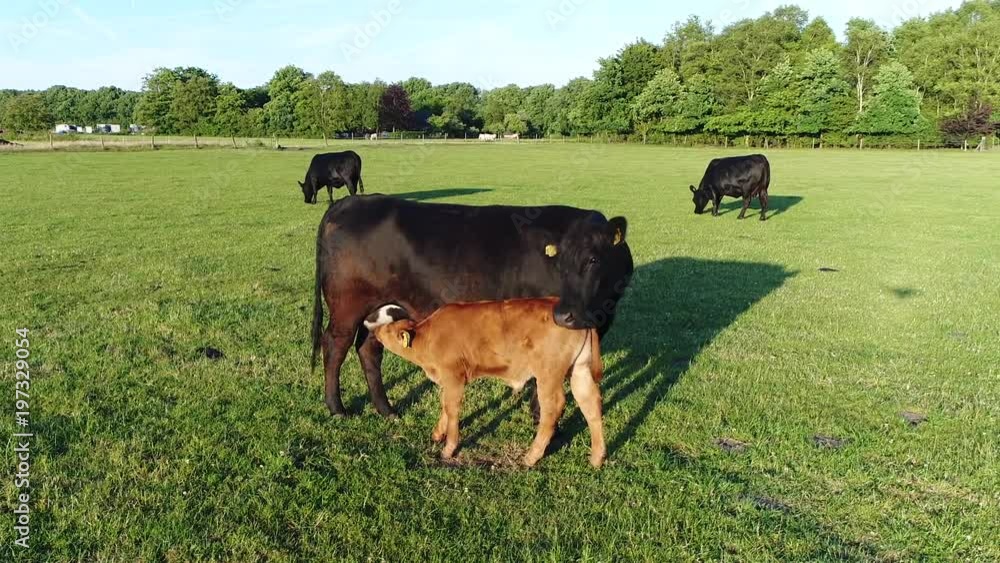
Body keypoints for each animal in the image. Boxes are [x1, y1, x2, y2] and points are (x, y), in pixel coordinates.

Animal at [311, 194, 633, 418]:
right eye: (560, 263)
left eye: (593, 259)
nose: (564, 315)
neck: (602, 310)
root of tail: (350, 202)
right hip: (347, 306)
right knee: (335, 346)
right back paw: (337, 408)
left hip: (378, 309)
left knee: (368, 350)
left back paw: (386, 409)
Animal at [364, 298, 605, 467]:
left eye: (389, 330)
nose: (375, 331)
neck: (429, 338)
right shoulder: (447, 380)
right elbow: (444, 406)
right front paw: (437, 434)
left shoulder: (454, 377)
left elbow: (452, 409)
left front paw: (448, 448)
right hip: (579, 370)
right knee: (591, 405)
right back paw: (597, 457)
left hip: (548, 374)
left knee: (552, 409)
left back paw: (531, 456)